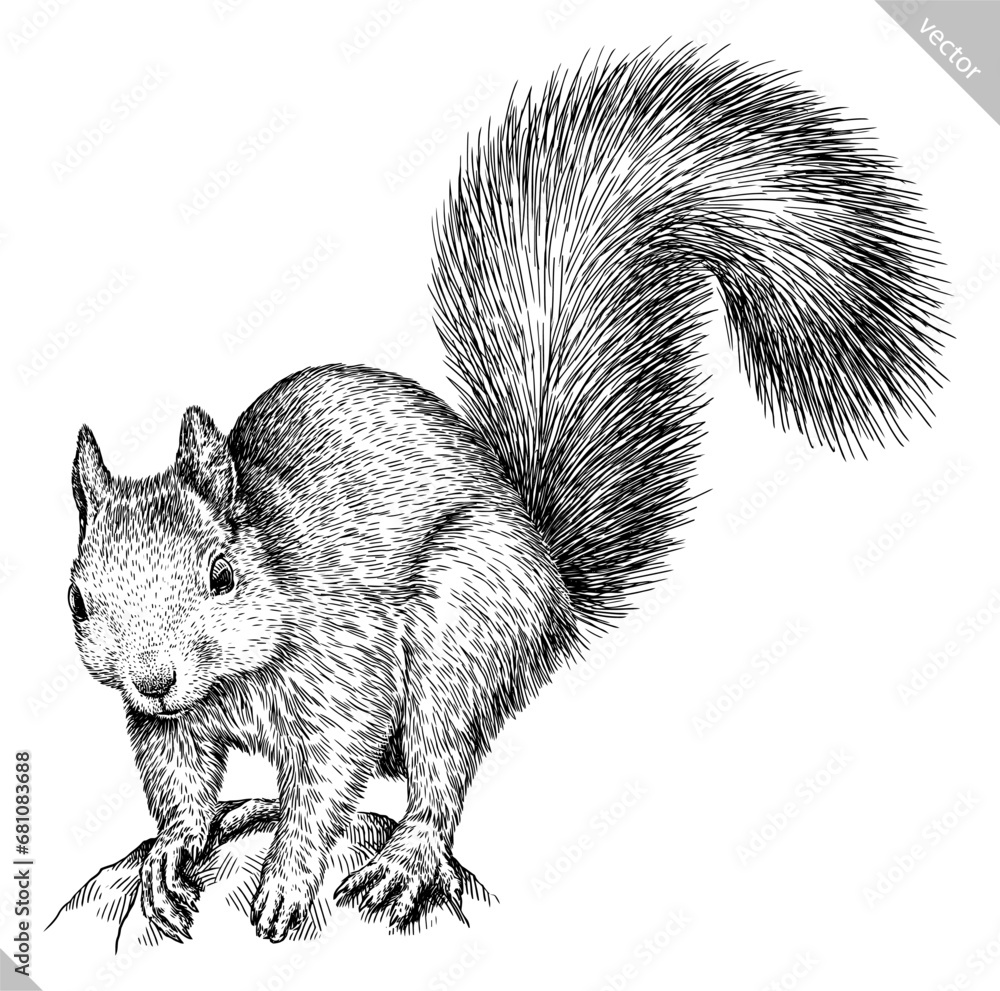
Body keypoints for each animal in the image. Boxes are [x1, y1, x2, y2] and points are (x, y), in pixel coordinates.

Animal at [68, 46, 946, 942]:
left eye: (221, 575)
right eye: (77, 598)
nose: (153, 678)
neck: (232, 677)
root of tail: (552, 581)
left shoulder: (344, 668)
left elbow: (329, 774)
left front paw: (285, 877)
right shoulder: (172, 726)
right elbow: (178, 780)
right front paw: (173, 851)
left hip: (463, 627)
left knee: (437, 766)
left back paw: (408, 856)